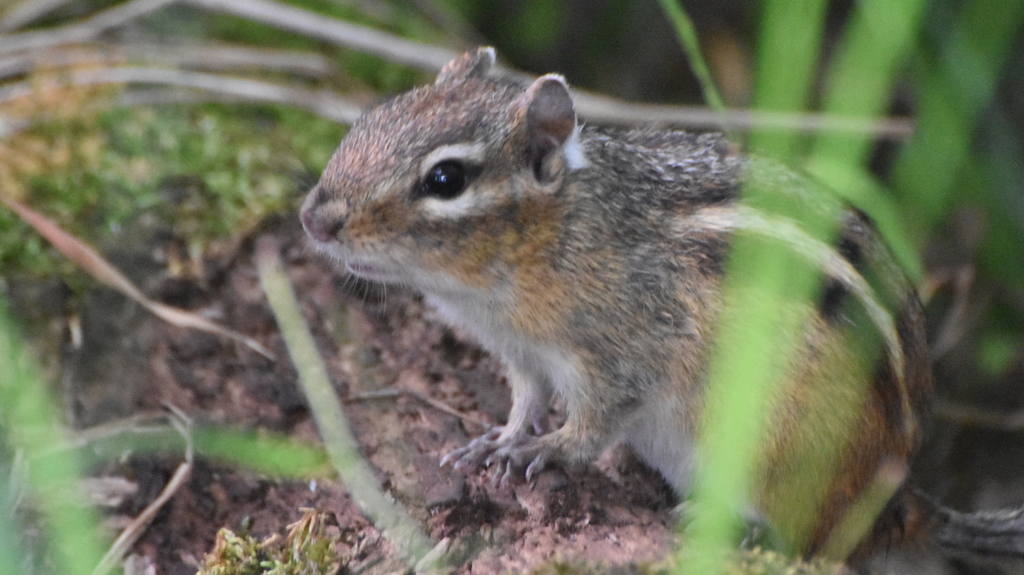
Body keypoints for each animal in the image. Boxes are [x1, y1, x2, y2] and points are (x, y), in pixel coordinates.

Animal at [299, 47, 1024, 562]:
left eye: (445, 179)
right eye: (373, 116)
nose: (313, 218)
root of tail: (900, 502)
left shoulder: (620, 354)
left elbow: (595, 419)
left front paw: (551, 449)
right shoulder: (523, 355)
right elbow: (525, 400)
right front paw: (496, 441)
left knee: (806, 538)